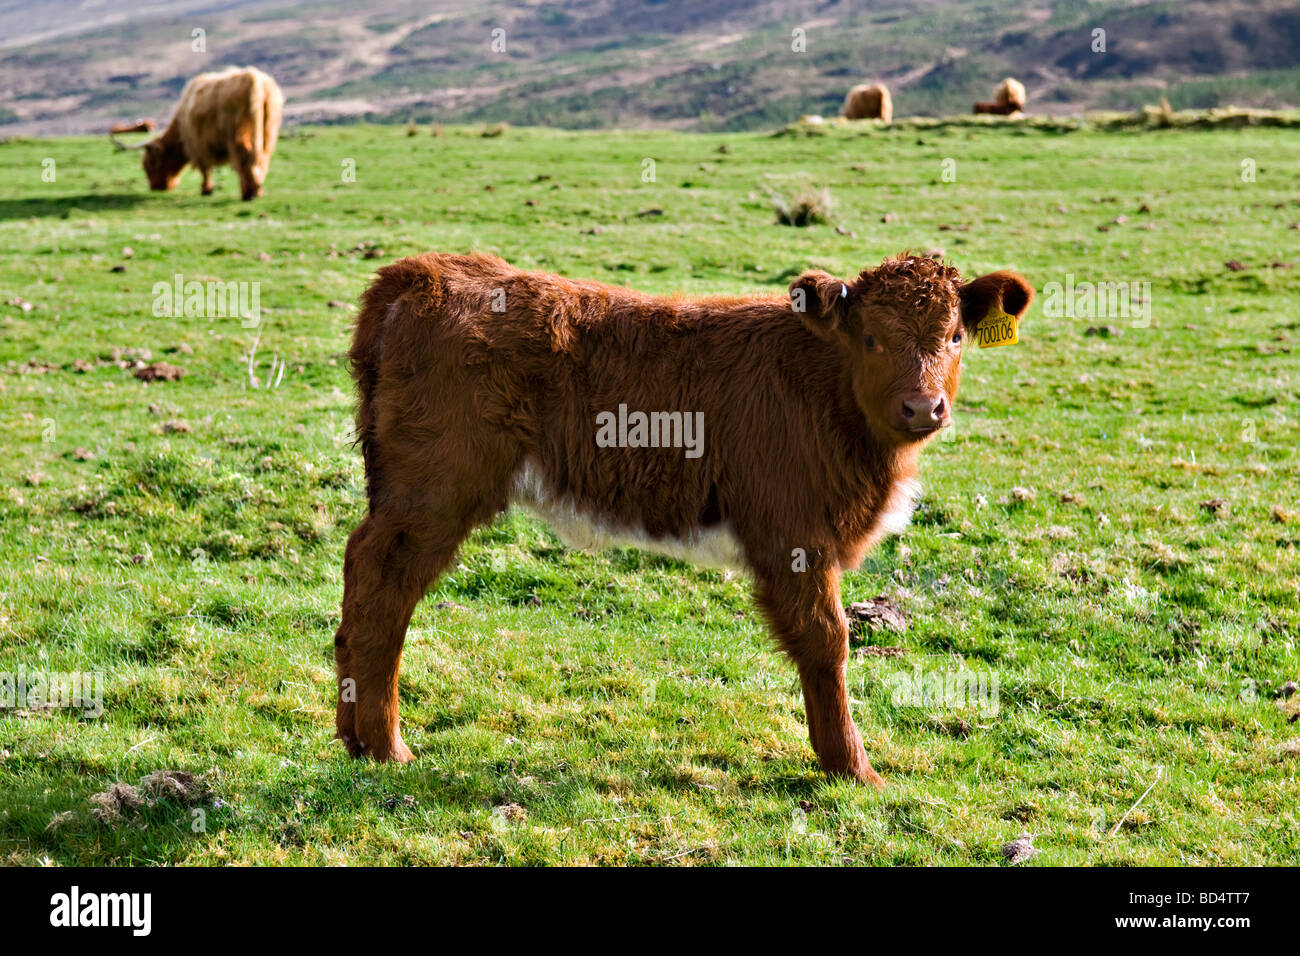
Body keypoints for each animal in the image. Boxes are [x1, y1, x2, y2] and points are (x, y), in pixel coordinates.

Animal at [111, 66, 283, 200]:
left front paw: (206, 189)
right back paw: (257, 190)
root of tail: (254, 78)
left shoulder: (197, 143)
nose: (155, 187)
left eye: (150, 165)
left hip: (240, 132)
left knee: (245, 156)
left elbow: (204, 168)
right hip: (267, 131)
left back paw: (248, 193)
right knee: (260, 158)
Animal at [333, 252, 1033, 785]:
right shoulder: (794, 535)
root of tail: (425, 271)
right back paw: (385, 746)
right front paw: (852, 768)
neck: (826, 387)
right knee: (384, 587)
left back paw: (354, 736)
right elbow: (826, 639)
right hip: (432, 493)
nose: (923, 407)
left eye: (954, 336)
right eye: (871, 338)